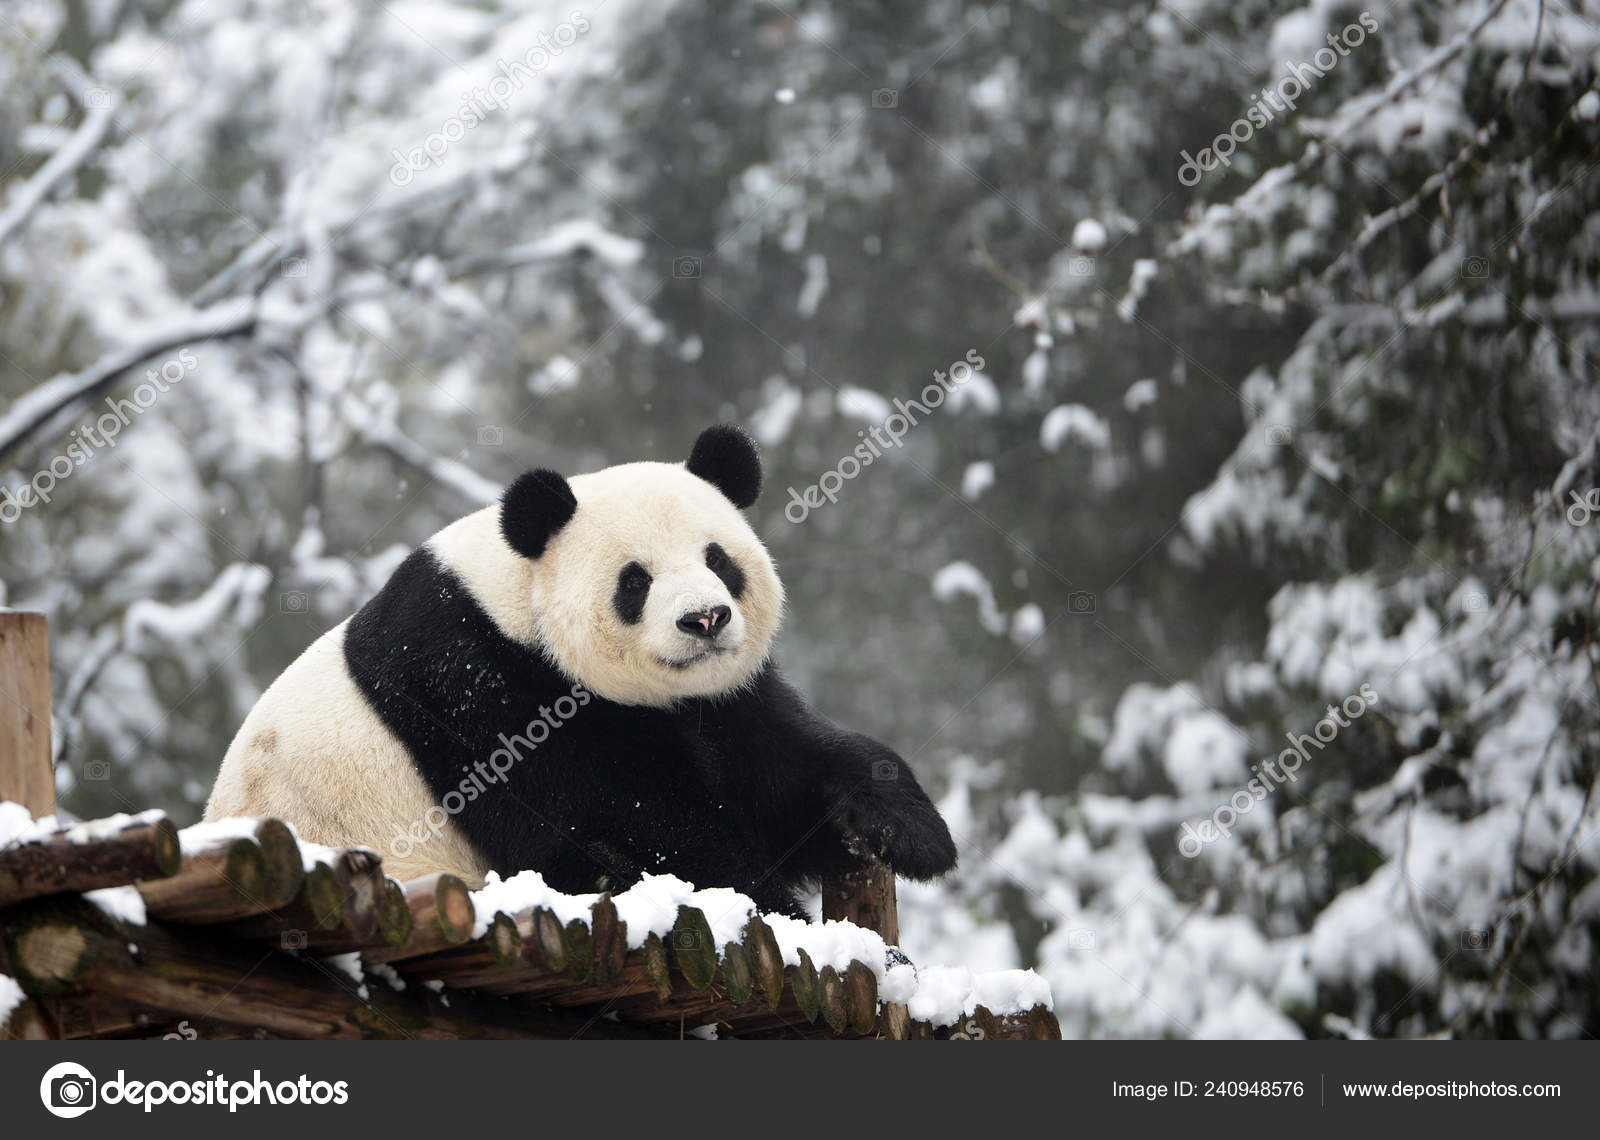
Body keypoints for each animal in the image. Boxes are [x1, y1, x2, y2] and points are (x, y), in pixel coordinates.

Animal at [206, 425, 956, 918]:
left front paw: (912, 830)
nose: (706, 620)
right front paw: (773, 912)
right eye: (635, 582)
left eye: (719, 560)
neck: (517, 600)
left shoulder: (716, 701)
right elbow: (640, 823)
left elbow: (780, 764)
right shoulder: (485, 688)